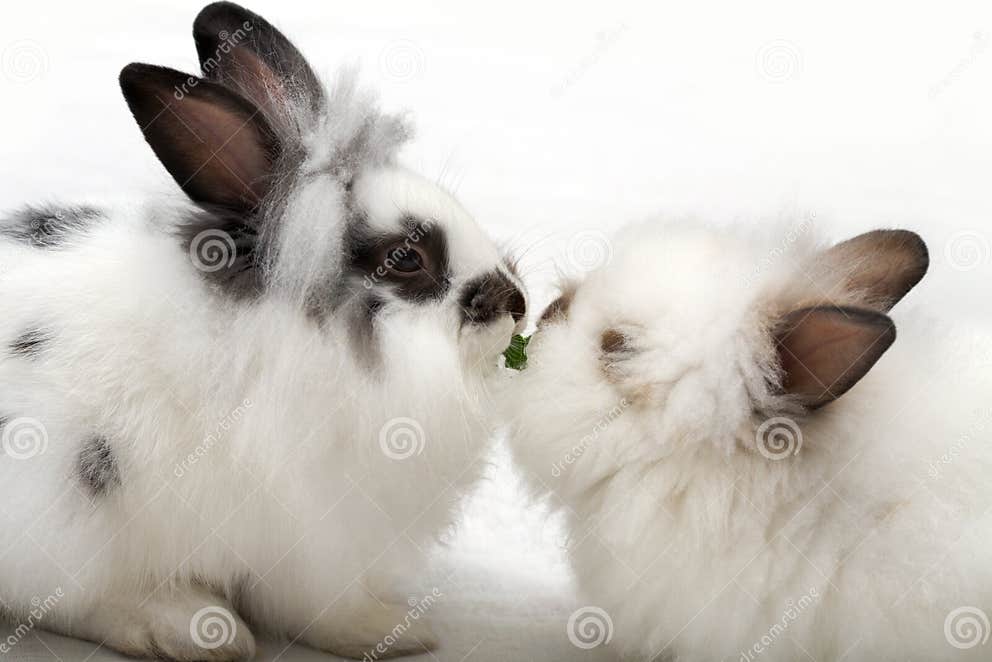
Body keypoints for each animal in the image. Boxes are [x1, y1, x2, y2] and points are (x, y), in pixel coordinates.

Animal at [0, 2, 526, 660]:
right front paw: (394, 630)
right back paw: (191, 627)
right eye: (406, 258)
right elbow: (321, 607)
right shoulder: (314, 532)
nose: (518, 303)